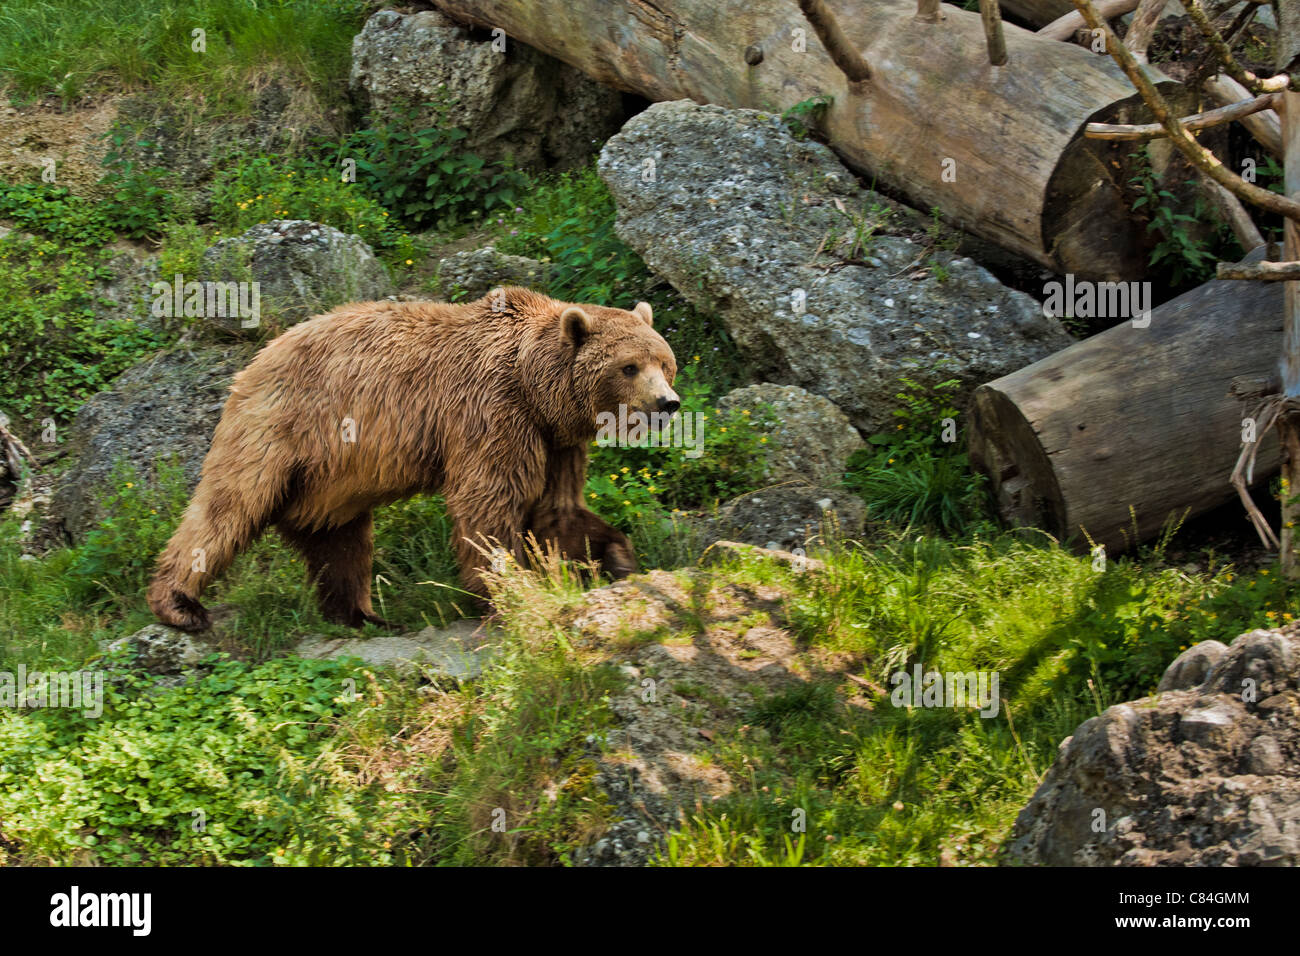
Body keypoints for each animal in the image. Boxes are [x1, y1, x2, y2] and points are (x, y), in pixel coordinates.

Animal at [146, 286, 679, 632]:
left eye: (665, 362)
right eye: (629, 367)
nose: (667, 403)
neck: (537, 388)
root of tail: (255, 359)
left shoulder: (556, 441)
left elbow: (557, 510)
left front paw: (618, 557)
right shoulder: (492, 412)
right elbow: (488, 503)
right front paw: (510, 590)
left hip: (328, 478)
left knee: (338, 538)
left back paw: (361, 614)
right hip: (281, 427)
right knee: (228, 505)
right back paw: (180, 604)